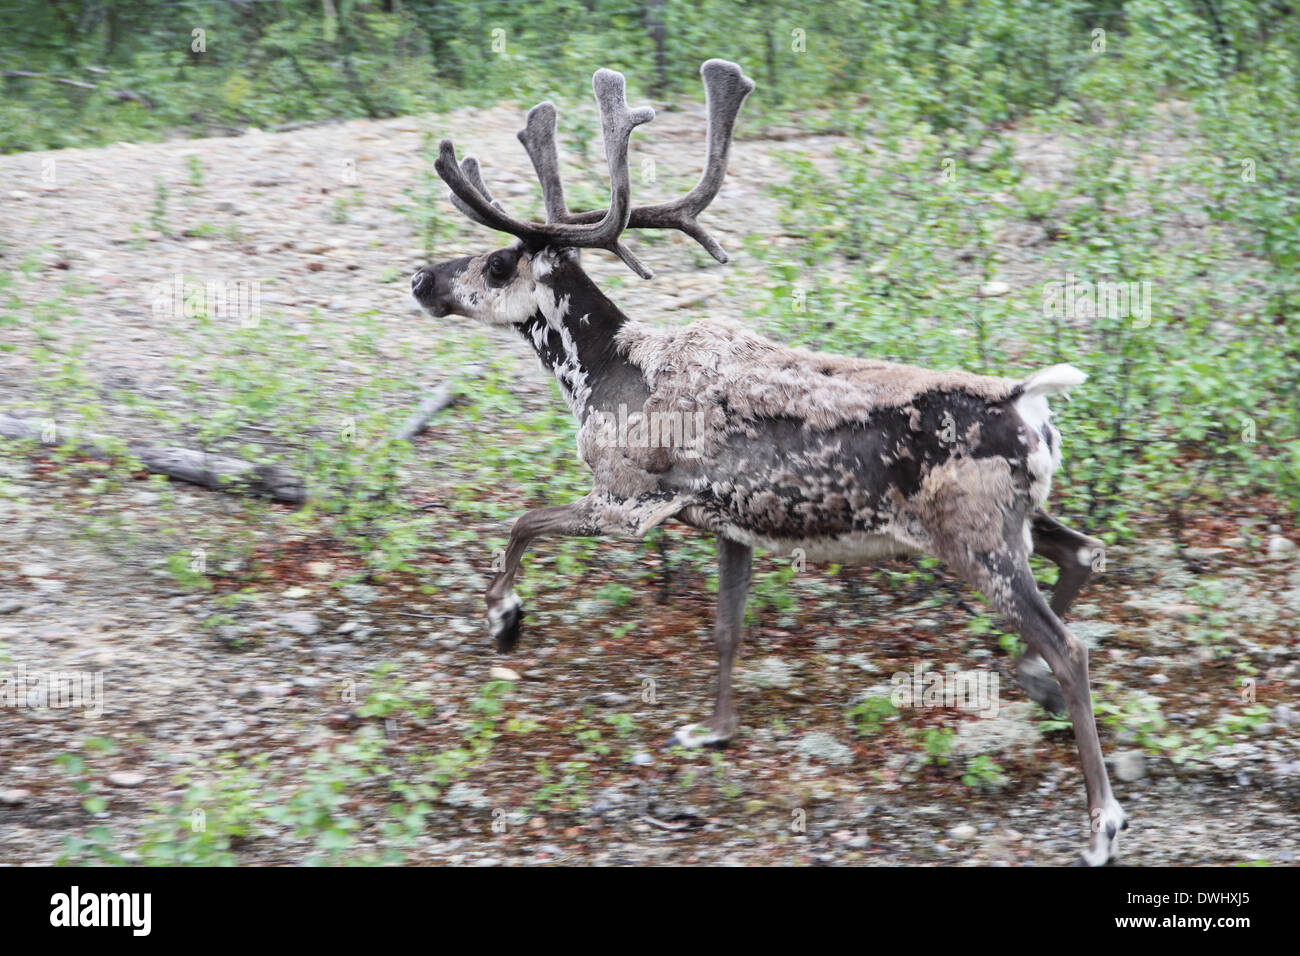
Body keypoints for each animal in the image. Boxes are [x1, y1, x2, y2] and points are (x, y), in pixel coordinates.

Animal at [410, 59, 1128, 865]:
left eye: (498, 261)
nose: (421, 280)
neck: (601, 373)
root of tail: (1028, 401)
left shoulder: (626, 501)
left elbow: (522, 522)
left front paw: (504, 618)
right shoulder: (728, 522)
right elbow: (728, 627)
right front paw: (714, 730)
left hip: (975, 540)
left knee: (1071, 647)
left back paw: (1101, 823)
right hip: (1015, 520)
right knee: (1087, 552)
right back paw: (1032, 686)